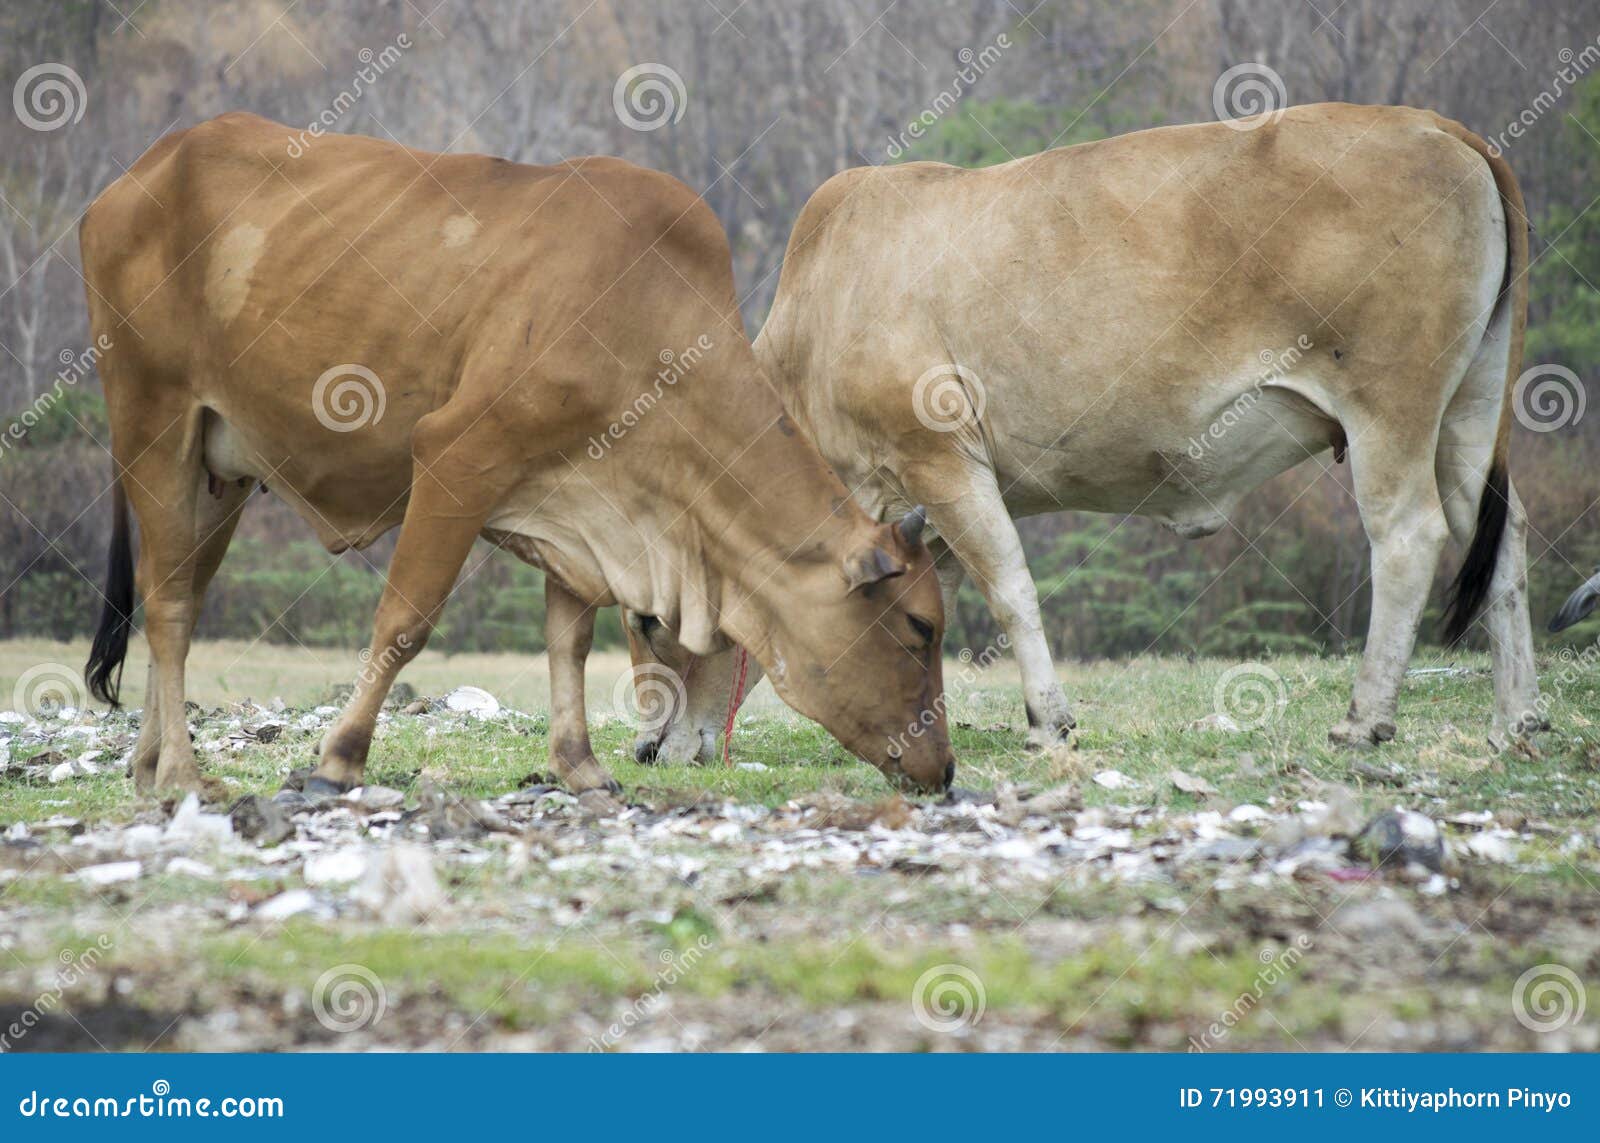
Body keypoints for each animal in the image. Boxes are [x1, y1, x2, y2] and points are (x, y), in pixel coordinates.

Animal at [79, 112, 954, 798]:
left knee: (179, 592)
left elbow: (569, 642)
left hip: (219, 471)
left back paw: (149, 766)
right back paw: (181, 773)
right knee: (169, 604)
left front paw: (580, 765)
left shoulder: (577, 502)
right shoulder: (457, 457)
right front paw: (338, 759)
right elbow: (406, 620)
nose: (943, 770)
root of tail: (139, 172)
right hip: (152, 420)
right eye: (919, 627)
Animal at [631, 103, 1543, 762]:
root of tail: (1441, 128)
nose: (645, 748)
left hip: (1391, 410)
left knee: (1408, 535)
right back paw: (1516, 720)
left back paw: (1365, 719)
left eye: (646, 621)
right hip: (1467, 413)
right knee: (1500, 540)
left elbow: (1009, 588)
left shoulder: (940, 459)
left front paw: (1048, 721)